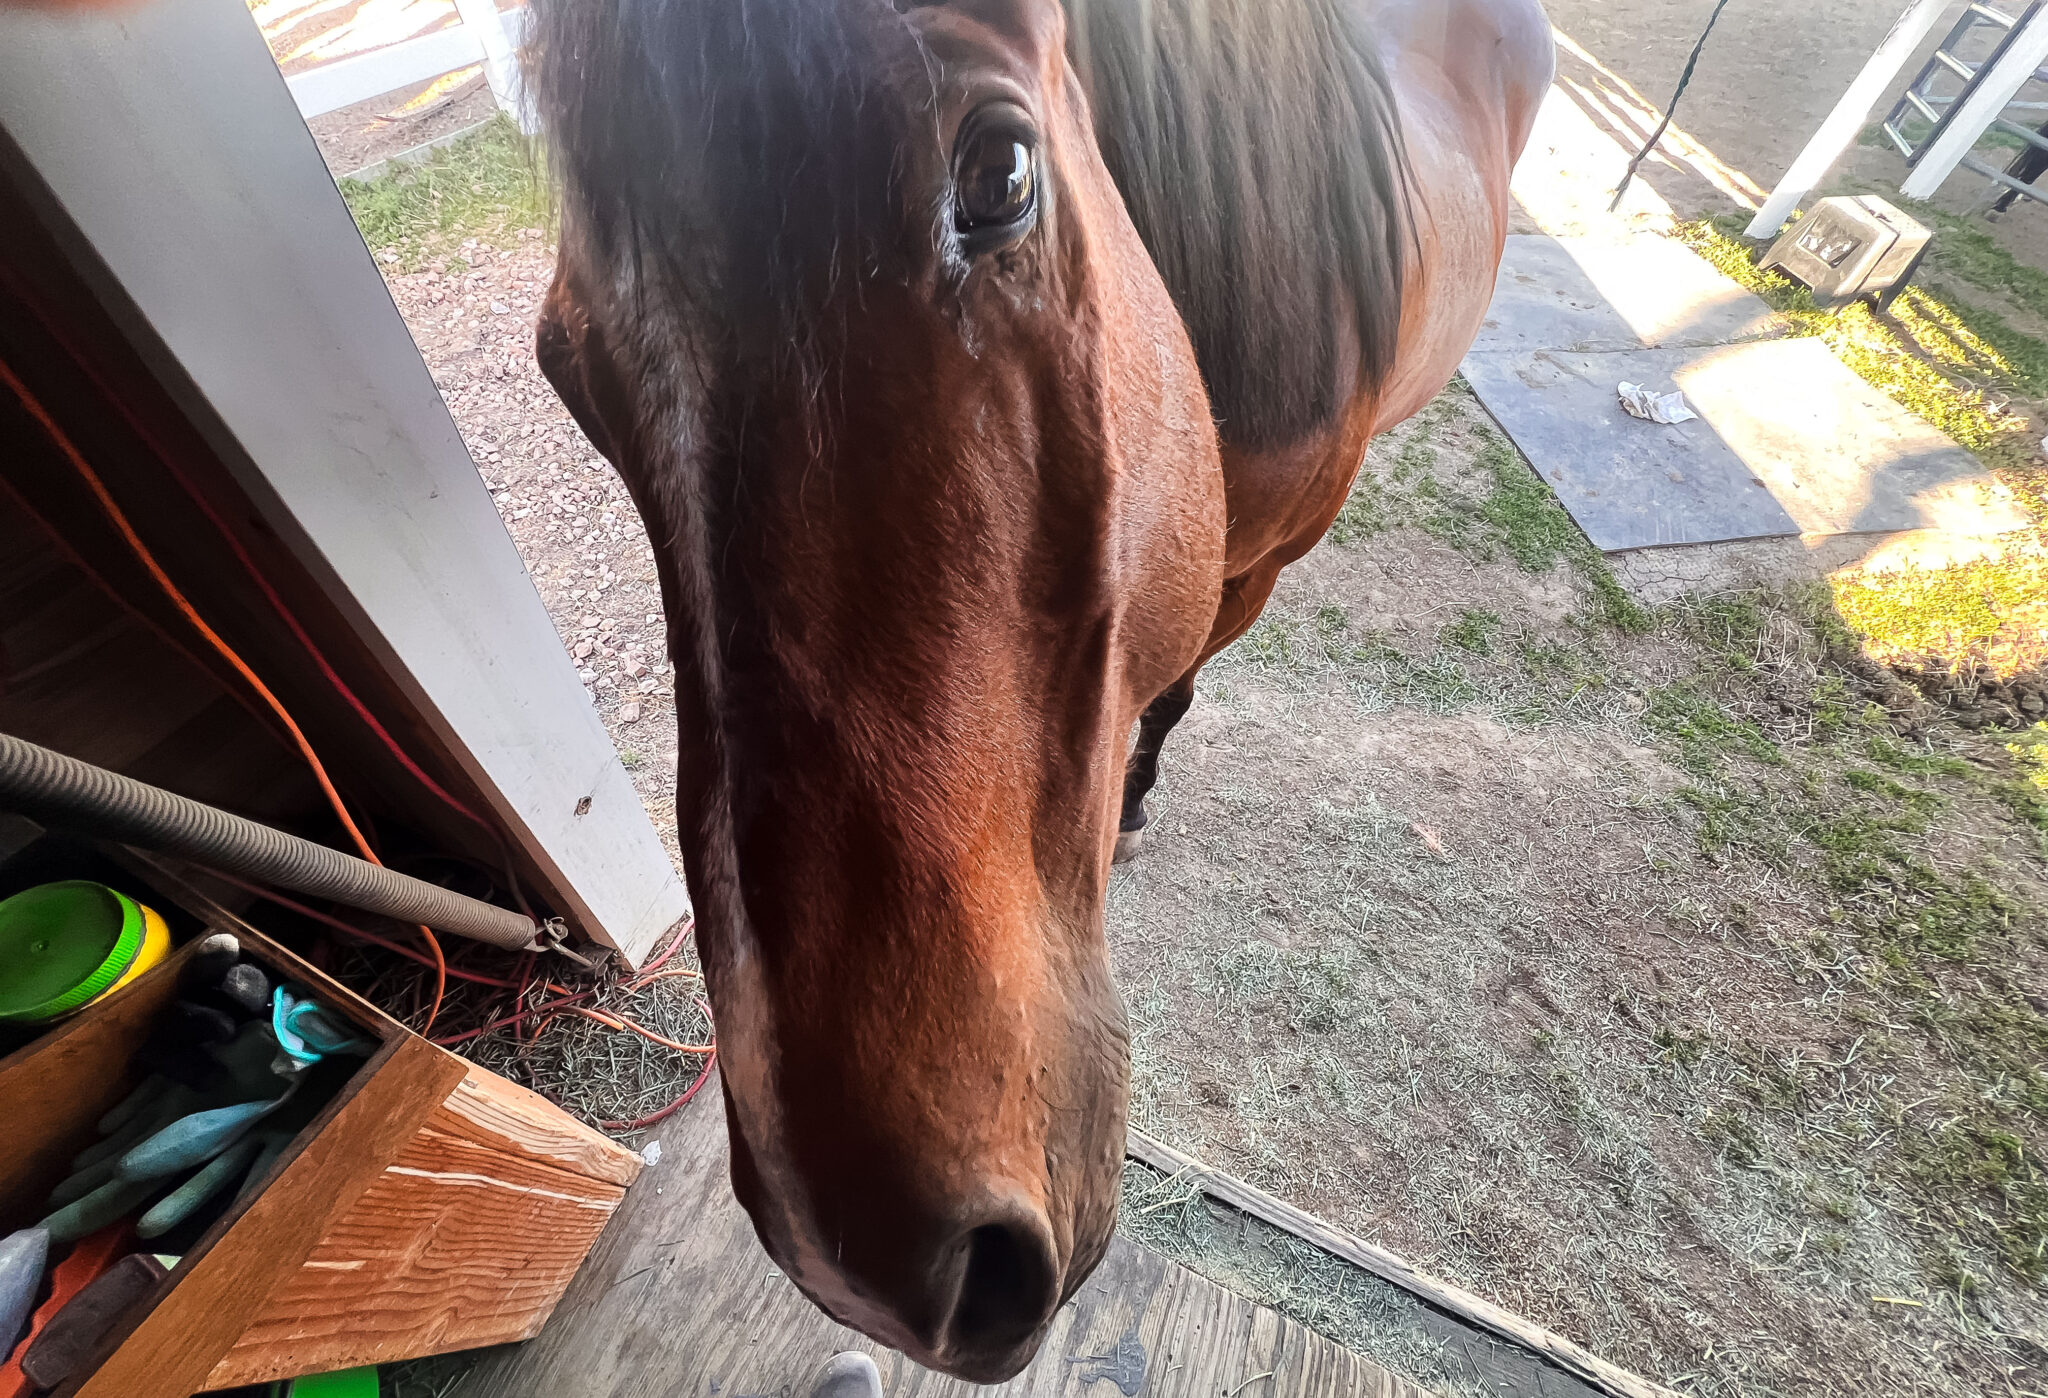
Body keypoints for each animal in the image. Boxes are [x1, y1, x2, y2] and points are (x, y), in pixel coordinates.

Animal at [528, 0, 1551, 1380]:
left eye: (1001, 174)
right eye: (560, 364)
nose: (850, 1255)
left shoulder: (1258, 565)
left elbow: (1175, 690)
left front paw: (1131, 810)